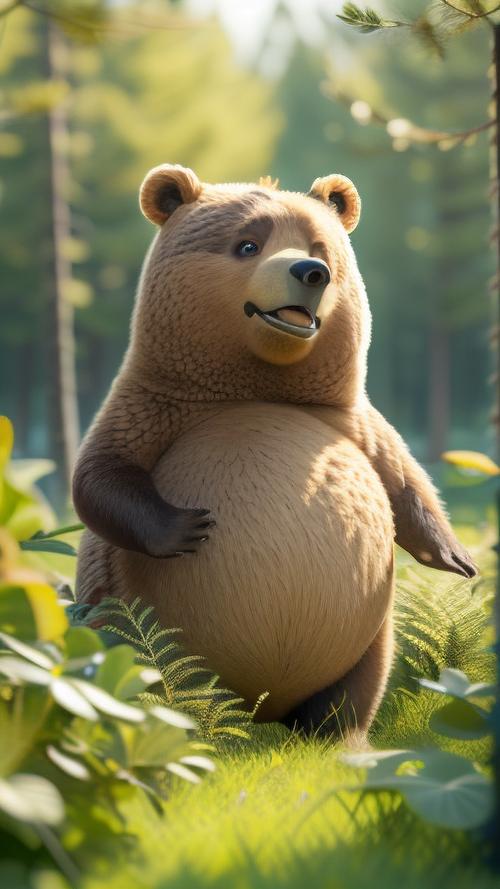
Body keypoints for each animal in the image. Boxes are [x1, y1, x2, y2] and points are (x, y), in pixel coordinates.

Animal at [73, 163, 477, 741]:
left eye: (320, 248)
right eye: (248, 244)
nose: (311, 273)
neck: (260, 382)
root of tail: (262, 710)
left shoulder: (350, 421)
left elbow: (405, 481)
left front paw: (455, 556)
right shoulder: (156, 404)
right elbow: (100, 477)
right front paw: (185, 526)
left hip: (369, 630)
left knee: (355, 686)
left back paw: (340, 738)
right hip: (127, 628)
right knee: (150, 677)